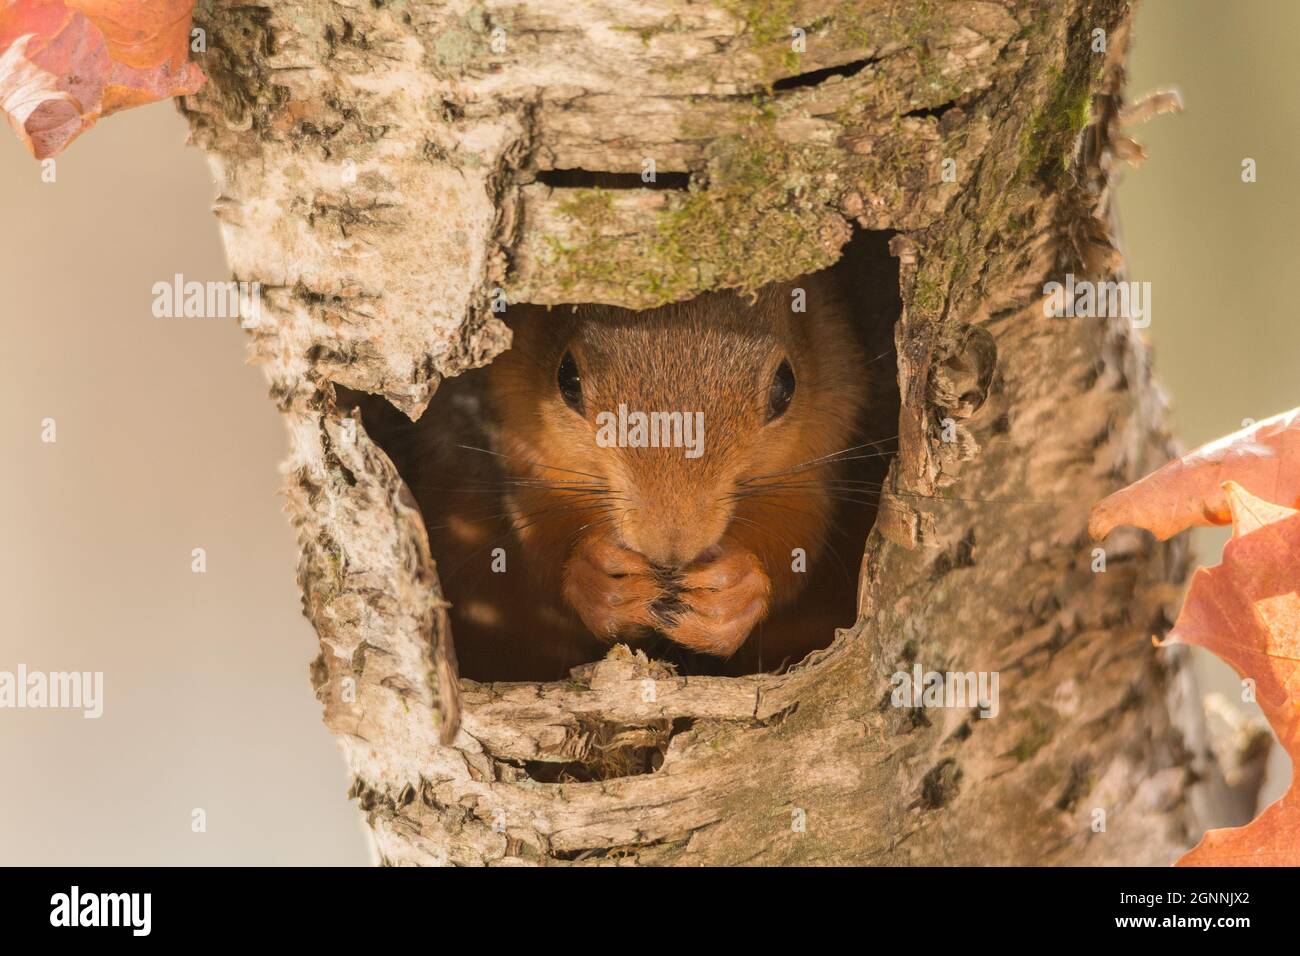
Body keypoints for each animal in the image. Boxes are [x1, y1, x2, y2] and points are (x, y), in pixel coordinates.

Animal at [356, 234, 900, 681]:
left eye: (786, 385)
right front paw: (601, 581)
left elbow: (796, 542)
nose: (671, 546)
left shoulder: (819, 440)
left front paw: (733, 593)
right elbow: (539, 547)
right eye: (567, 378)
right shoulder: (526, 452)